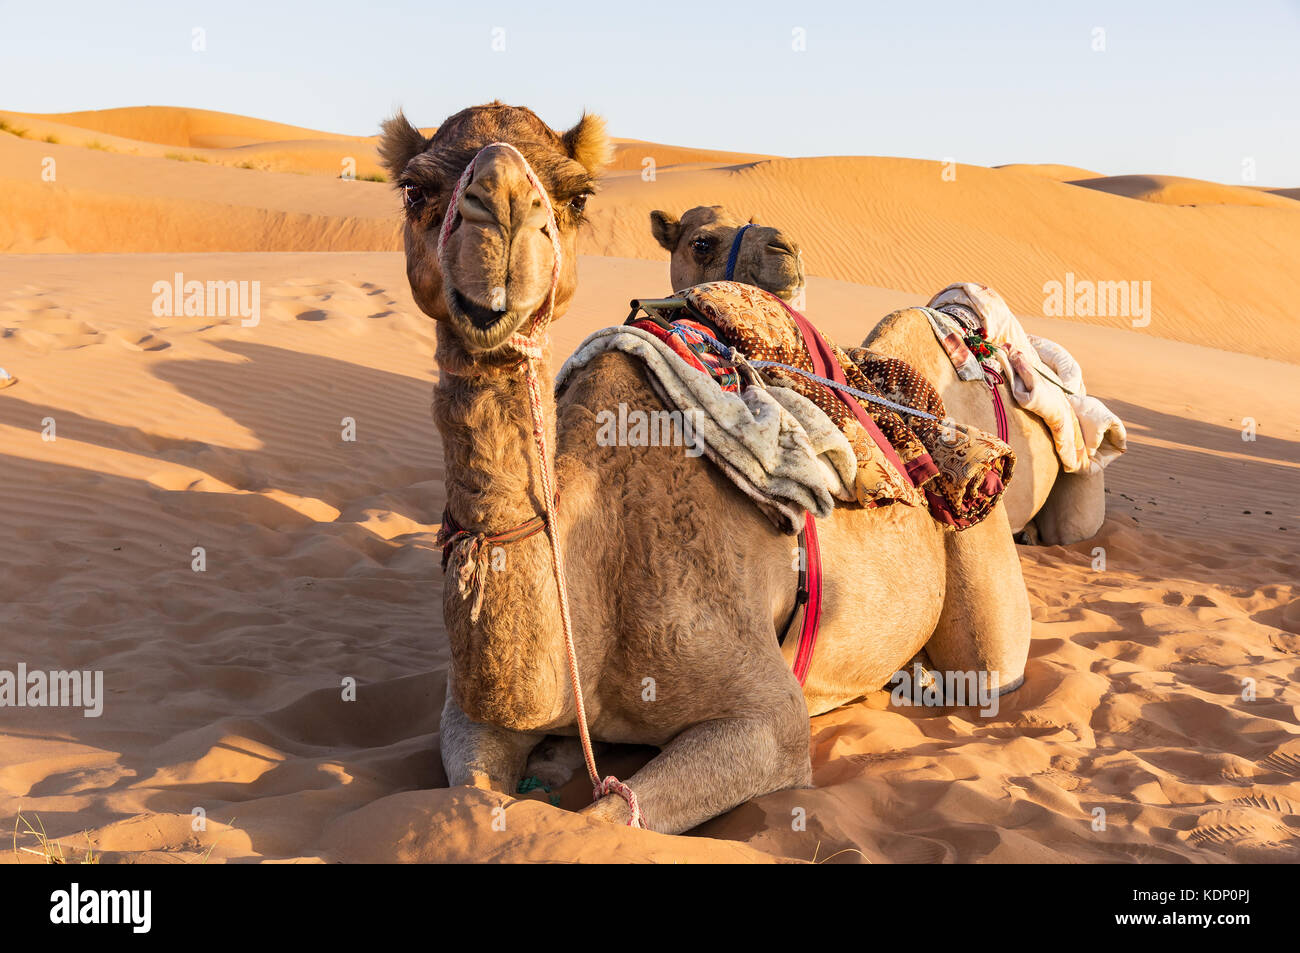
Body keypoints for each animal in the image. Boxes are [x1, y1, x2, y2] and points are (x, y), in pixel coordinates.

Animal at [381, 103, 1031, 835]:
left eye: (577, 194)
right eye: (414, 189)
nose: (502, 213)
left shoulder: (769, 720)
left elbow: (602, 818)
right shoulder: (469, 713)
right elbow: (476, 795)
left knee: (986, 667)